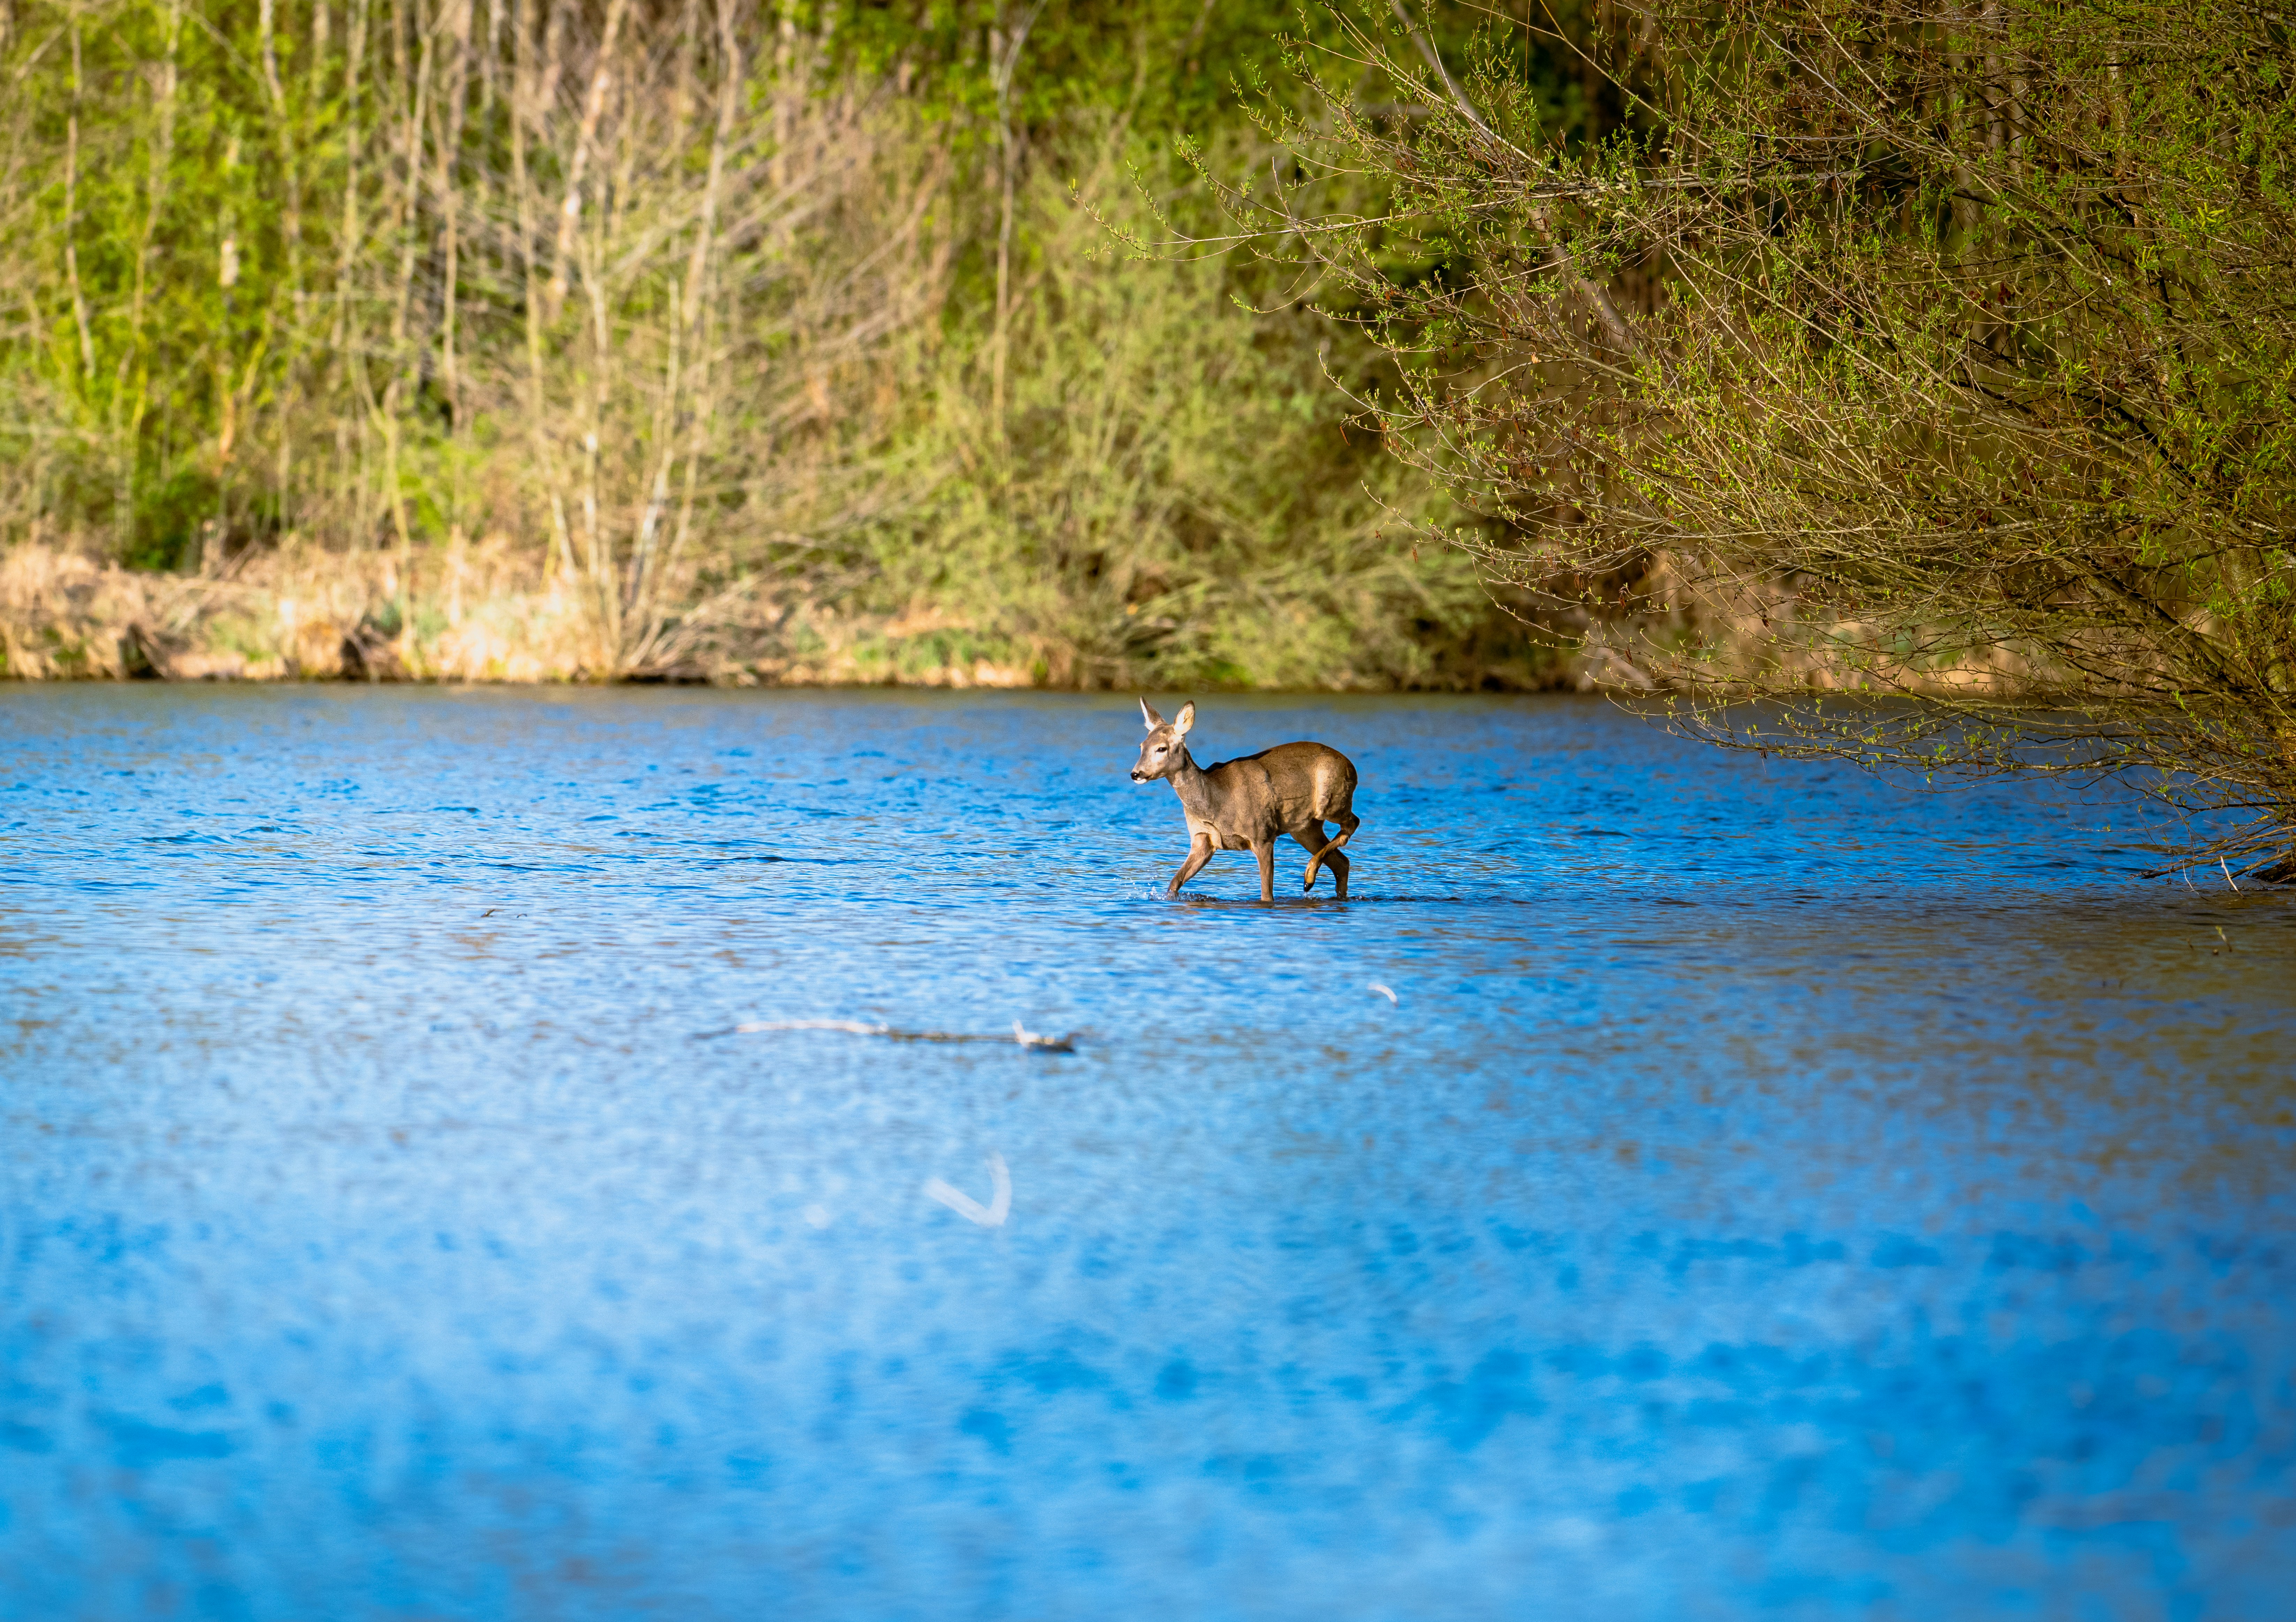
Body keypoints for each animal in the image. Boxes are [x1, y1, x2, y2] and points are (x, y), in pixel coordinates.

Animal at [1129, 699, 1362, 902]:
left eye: (1162, 748)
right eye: (1141, 746)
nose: (1136, 774)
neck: (1214, 799)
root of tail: (1352, 767)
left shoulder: (1263, 836)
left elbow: (1267, 895)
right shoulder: (1202, 839)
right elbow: (1174, 884)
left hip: (1332, 802)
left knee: (1353, 823)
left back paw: (1309, 877)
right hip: (1305, 827)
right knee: (1342, 862)